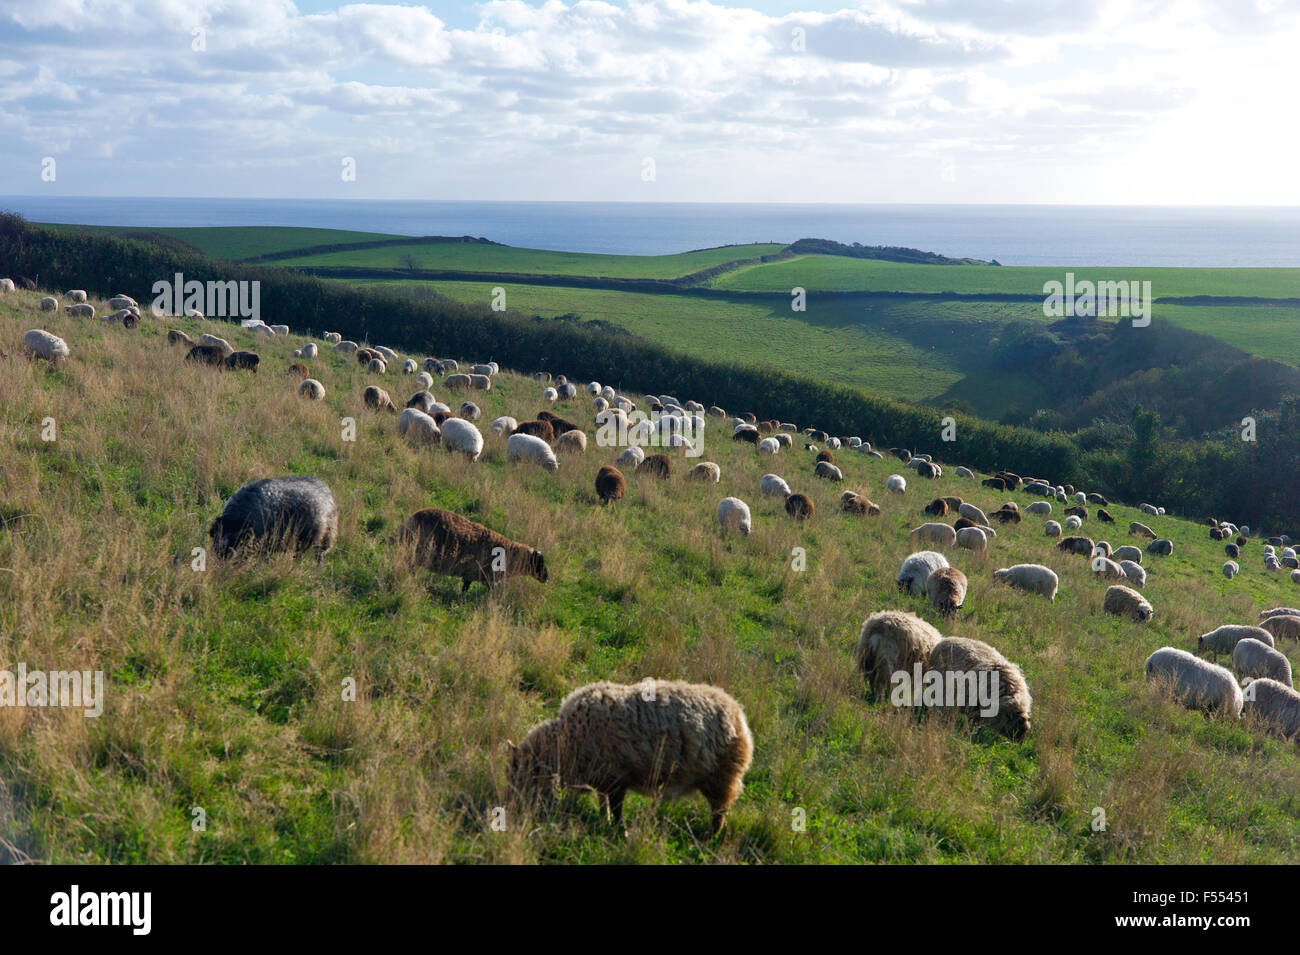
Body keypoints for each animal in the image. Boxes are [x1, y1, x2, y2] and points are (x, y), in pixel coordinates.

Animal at [401, 507, 546, 593]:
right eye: (539, 562)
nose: (546, 577)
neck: (509, 555)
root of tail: (411, 518)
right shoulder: (479, 575)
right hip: (417, 551)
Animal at [507, 679, 752, 836]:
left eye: (522, 779)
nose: (513, 813)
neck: (566, 739)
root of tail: (738, 715)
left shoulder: (617, 777)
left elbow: (616, 808)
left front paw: (620, 832)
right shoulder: (602, 777)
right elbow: (603, 802)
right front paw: (604, 820)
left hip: (722, 778)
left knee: (719, 812)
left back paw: (710, 837)